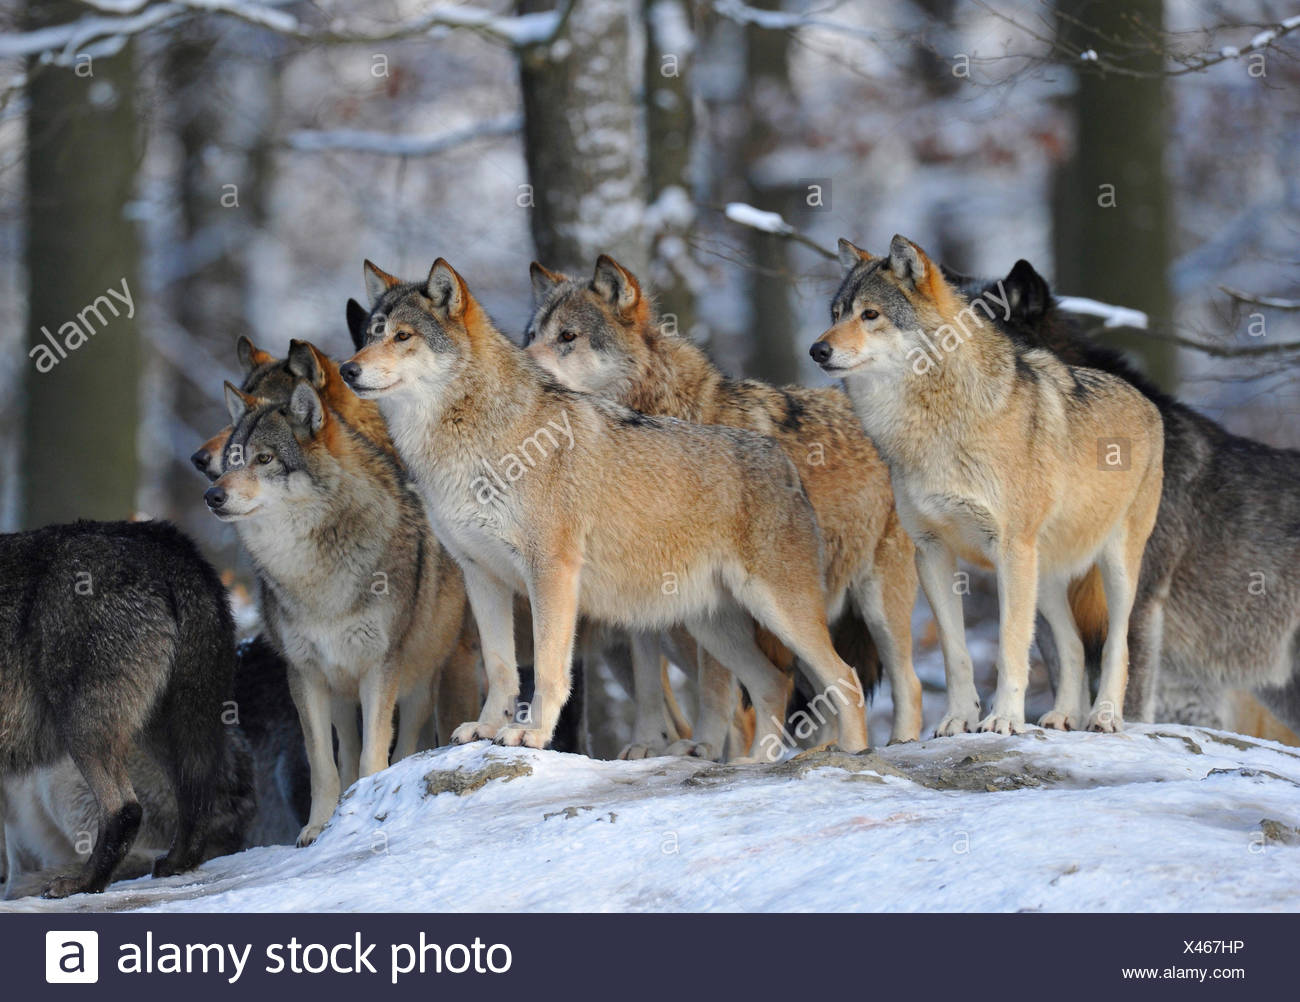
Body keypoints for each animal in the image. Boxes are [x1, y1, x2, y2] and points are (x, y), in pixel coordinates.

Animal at [0, 520, 249, 896]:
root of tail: (157, 540)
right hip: (165, 729)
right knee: (195, 795)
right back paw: (176, 864)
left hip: (79, 735)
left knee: (124, 808)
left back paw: (84, 883)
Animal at [206, 343, 477, 846]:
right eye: (233, 460)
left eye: (265, 459)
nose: (212, 495)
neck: (314, 574)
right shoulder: (306, 674)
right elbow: (323, 765)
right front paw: (318, 828)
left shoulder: (381, 667)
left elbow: (375, 754)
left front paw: (364, 809)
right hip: (340, 695)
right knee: (346, 752)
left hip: (419, 682)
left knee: (403, 745)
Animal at [340, 258, 870, 758]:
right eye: (369, 336)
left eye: (402, 336)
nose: (348, 369)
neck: (472, 439)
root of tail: (784, 461)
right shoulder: (482, 577)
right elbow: (501, 667)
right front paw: (487, 729)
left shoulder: (551, 573)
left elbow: (549, 668)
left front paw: (531, 734)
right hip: (711, 625)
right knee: (773, 683)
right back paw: (751, 767)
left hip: (776, 613)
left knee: (845, 679)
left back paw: (852, 754)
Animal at [524, 256, 922, 750]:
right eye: (531, 335)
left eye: (568, 336)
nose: (520, 364)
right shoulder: (644, 598)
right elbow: (651, 679)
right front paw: (647, 746)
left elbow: (715, 688)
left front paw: (706, 749)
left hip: (872, 601)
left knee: (906, 683)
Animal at [811, 235, 1164, 735]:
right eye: (836, 312)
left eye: (870, 314)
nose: (816, 350)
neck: (931, 427)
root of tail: (1146, 400)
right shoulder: (932, 552)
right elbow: (956, 654)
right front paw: (959, 718)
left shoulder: (1010, 550)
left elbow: (1009, 647)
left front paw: (1004, 719)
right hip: (1044, 577)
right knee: (1074, 645)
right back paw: (1062, 715)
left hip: (1111, 567)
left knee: (1118, 645)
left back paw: (1105, 716)